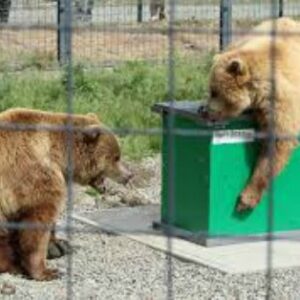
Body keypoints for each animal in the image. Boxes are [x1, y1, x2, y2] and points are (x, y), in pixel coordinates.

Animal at [0, 108, 132, 282]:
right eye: (116, 157)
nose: (129, 175)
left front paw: (58, 245)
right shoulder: (34, 173)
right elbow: (37, 222)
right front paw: (46, 271)